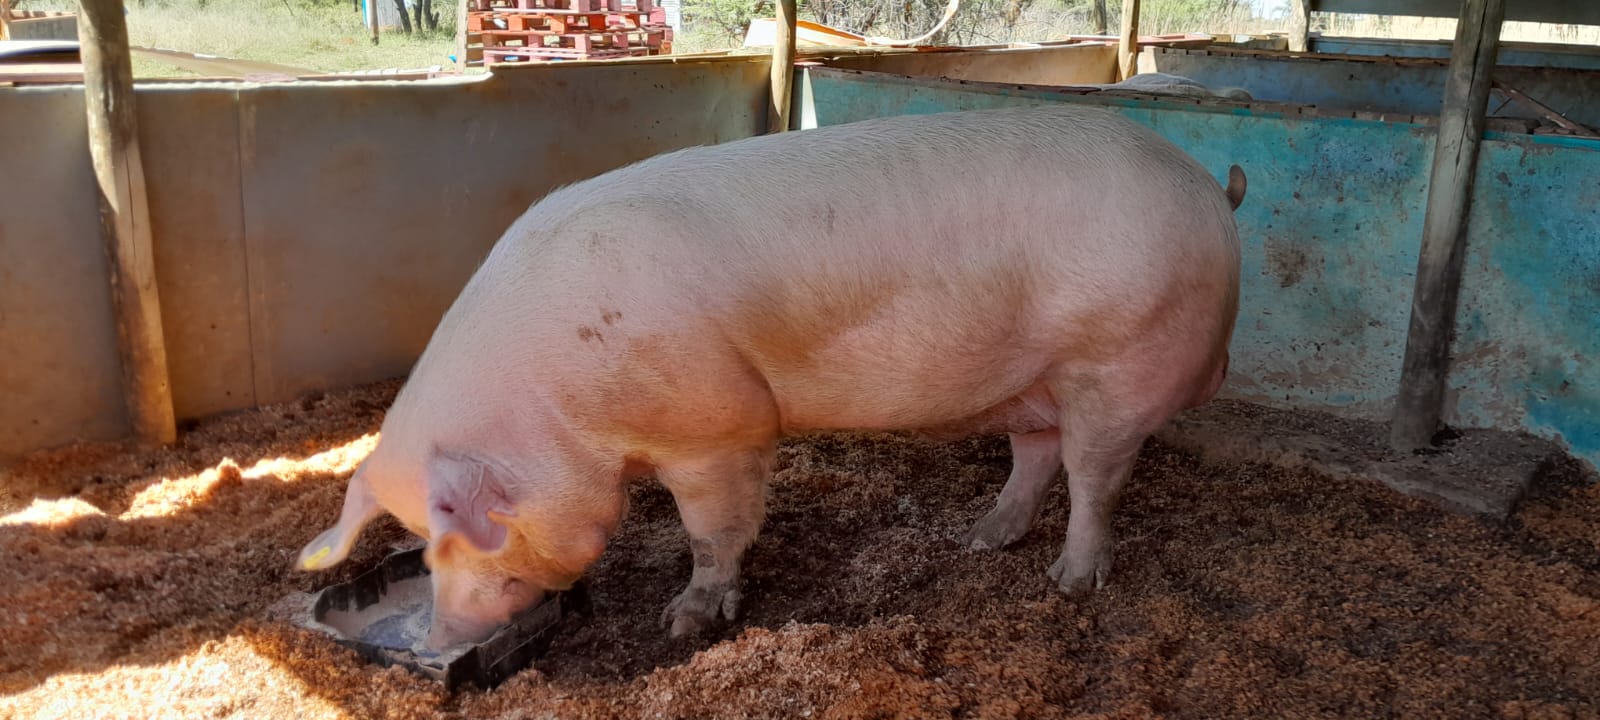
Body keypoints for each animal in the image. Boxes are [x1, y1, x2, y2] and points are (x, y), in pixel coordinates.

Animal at [296, 103, 1247, 651]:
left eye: (456, 537)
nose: (440, 634)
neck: (554, 407)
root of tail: (1210, 190)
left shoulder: (716, 423)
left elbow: (715, 530)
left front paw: (684, 622)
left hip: (1117, 360)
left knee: (1095, 476)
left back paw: (1070, 583)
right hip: (1037, 379)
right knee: (1037, 452)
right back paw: (980, 539)